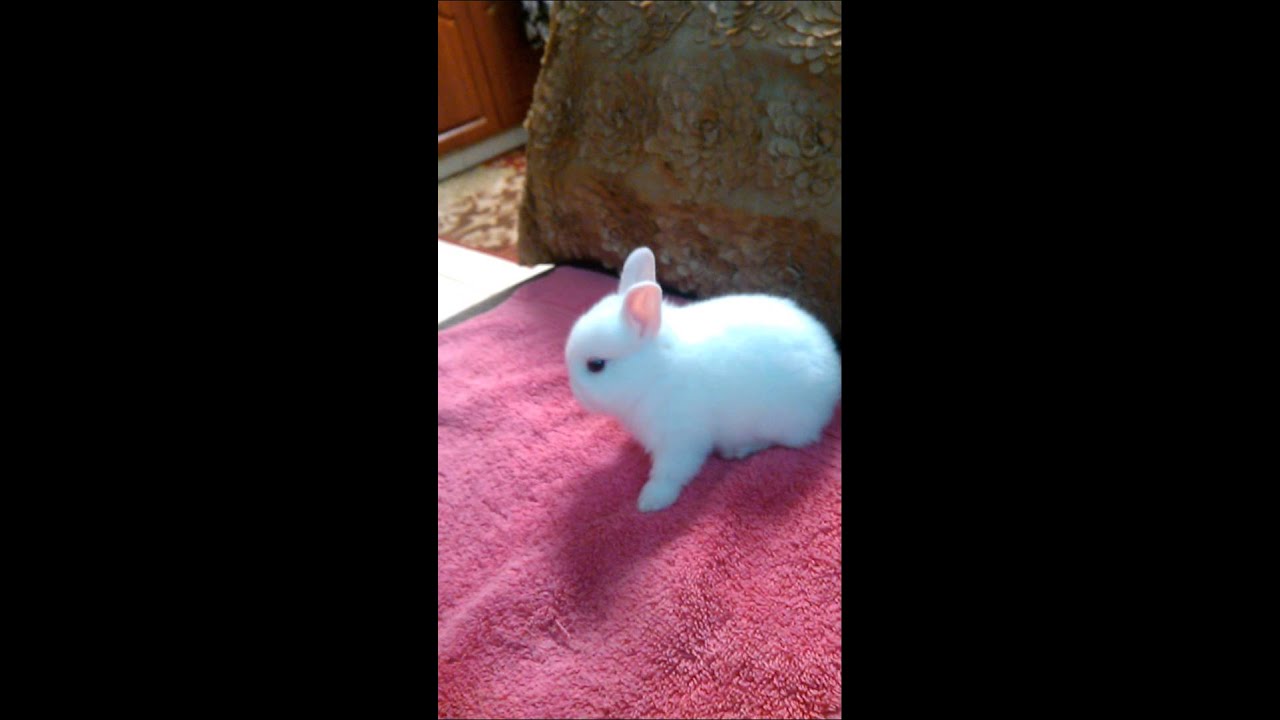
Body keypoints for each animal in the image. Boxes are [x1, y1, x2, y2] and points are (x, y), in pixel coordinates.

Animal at [564, 246, 841, 512]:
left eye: (596, 365)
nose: (575, 392)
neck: (654, 373)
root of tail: (832, 371)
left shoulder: (681, 440)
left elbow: (670, 473)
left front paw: (651, 501)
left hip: (781, 422)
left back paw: (738, 450)